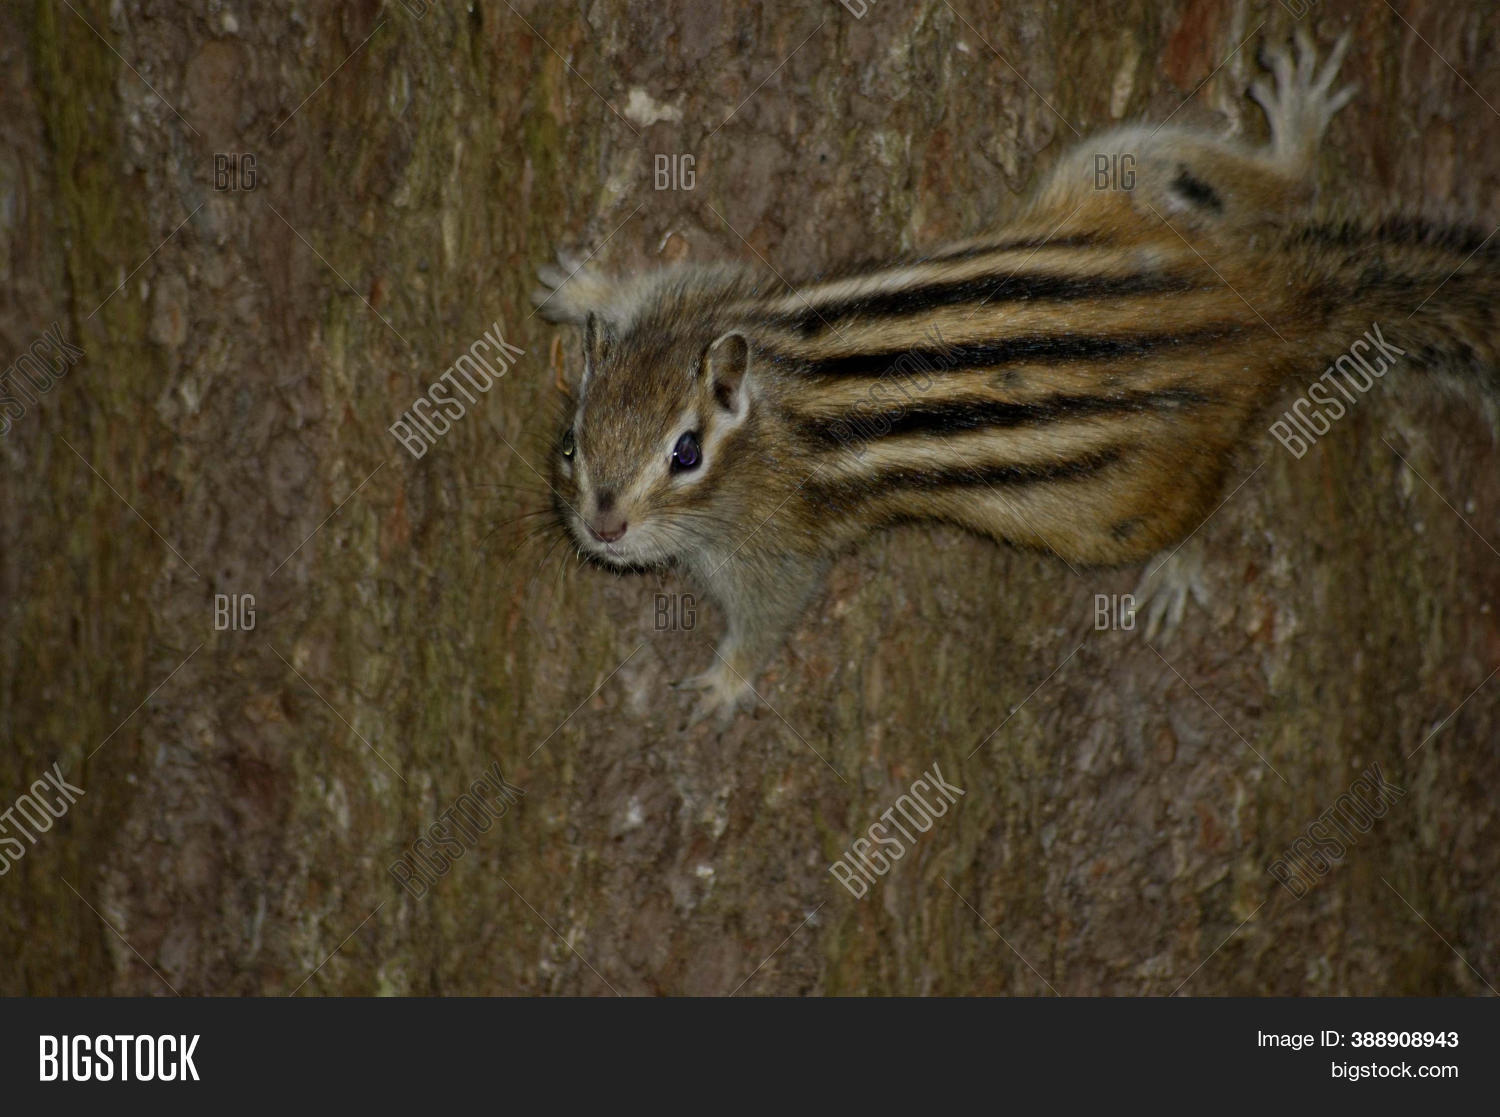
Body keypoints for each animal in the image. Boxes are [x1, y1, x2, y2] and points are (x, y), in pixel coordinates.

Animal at [533, 31, 1500, 724]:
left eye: (686, 454)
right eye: (573, 444)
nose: (604, 525)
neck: (767, 407)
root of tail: (1262, 311)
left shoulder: (776, 547)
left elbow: (770, 615)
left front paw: (726, 683)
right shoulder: (699, 298)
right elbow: (662, 280)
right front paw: (583, 288)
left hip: (1112, 504)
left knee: (1213, 483)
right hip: (1139, 177)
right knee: (1244, 184)